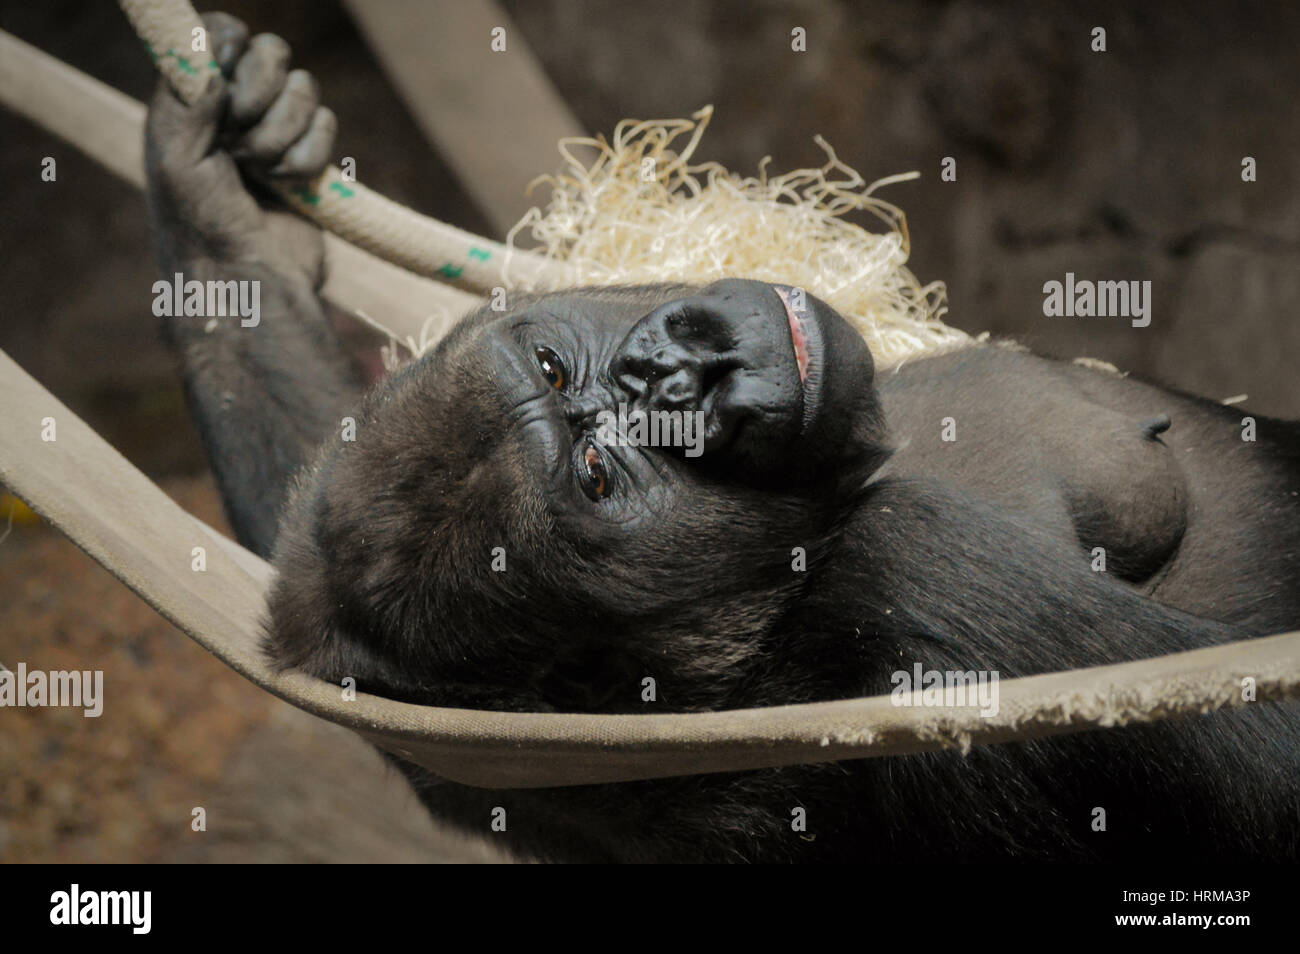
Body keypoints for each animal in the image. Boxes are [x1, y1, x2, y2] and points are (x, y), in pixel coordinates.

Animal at [144, 14, 1300, 863]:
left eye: (554, 368)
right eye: (599, 477)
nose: (677, 372)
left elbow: (299, 526)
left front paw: (228, 214)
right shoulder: (911, 572)